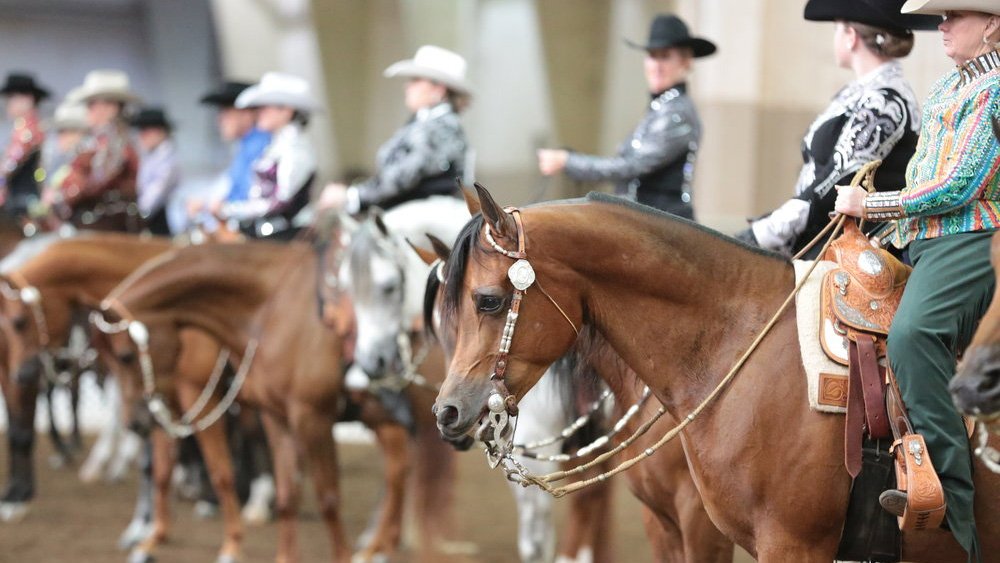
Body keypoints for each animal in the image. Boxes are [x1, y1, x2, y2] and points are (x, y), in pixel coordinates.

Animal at [98, 237, 458, 563]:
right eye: (108, 360)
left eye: (126, 356)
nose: (136, 421)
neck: (270, 310)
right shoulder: (275, 417)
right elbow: (286, 494)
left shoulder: (310, 417)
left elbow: (326, 497)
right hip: (384, 419)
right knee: (399, 472)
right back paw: (377, 548)